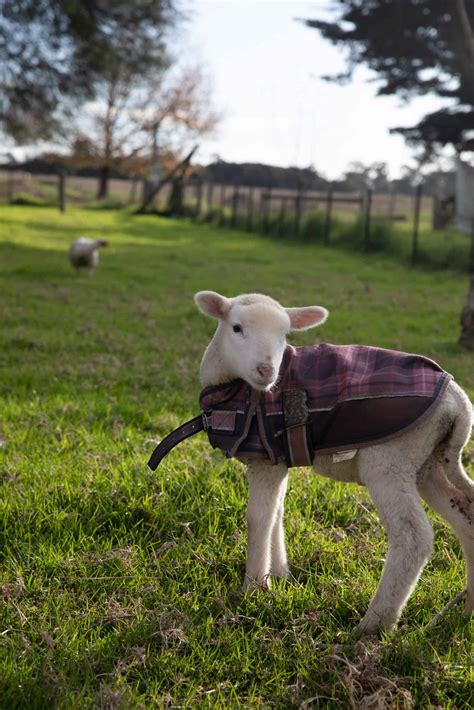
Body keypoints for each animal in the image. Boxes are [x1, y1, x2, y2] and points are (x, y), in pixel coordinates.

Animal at [194, 290, 474, 636]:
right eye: (236, 327)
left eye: (284, 335)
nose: (266, 370)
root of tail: (458, 400)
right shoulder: (277, 460)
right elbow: (277, 512)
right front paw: (281, 575)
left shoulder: (264, 460)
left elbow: (258, 517)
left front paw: (254, 589)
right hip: (429, 463)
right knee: (465, 519)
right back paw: (467, 611)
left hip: (389, 460)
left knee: (413, 536)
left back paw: (373, 624)